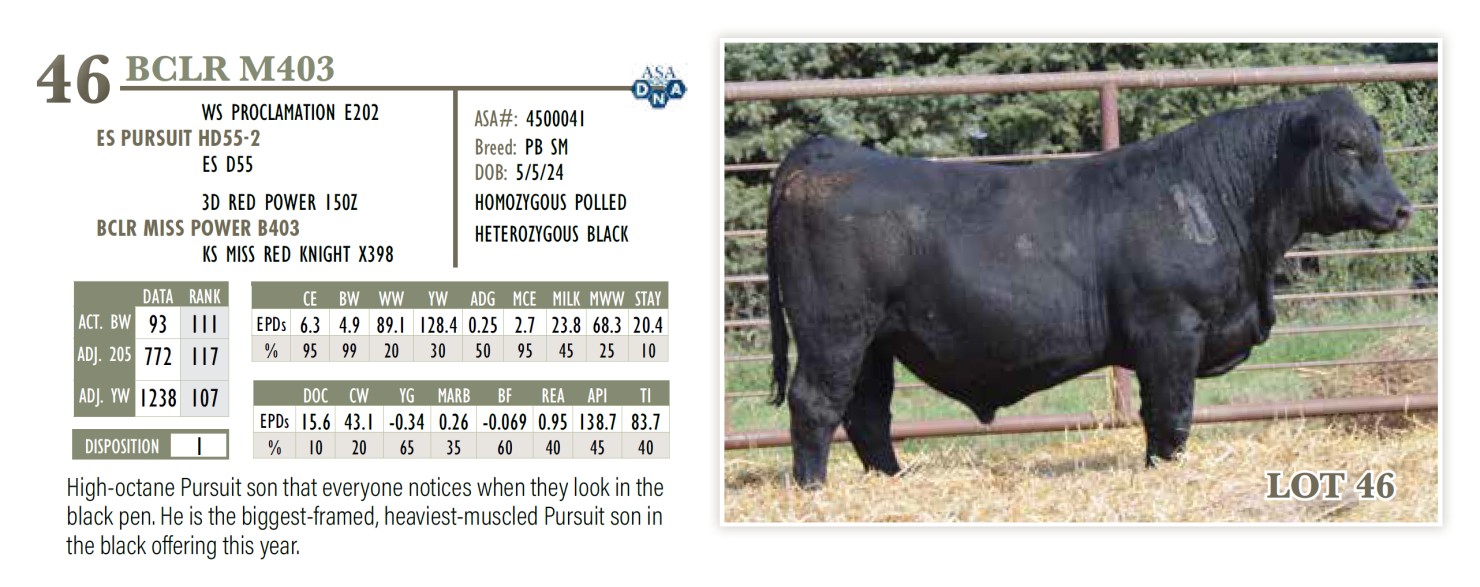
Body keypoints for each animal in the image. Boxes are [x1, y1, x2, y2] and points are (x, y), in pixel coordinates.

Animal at [766, 88, 1412, 487]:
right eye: (1347, 146)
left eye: (1376, 146)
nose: (1403, 208)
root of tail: (826, 150)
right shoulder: (1171, 328)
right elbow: (1171, 413)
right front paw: (1165, 470)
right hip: (834, 328)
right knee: (816, 403)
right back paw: (813, 489)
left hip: (874, 338)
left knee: (867, 412)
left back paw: (892, 480)